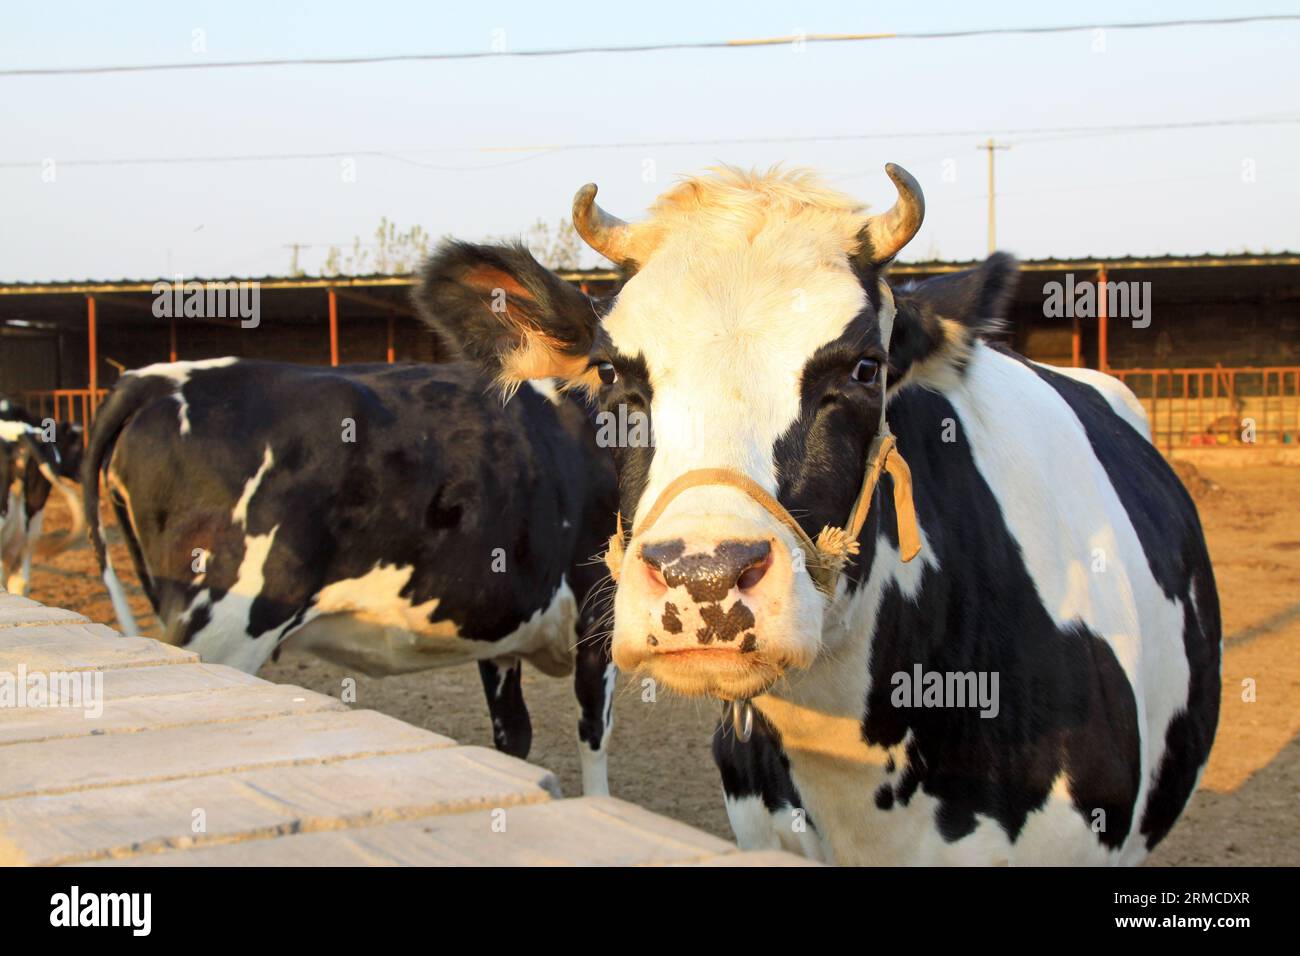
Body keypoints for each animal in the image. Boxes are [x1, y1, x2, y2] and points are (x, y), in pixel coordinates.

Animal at [82, 359, 621, 793]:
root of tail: (160, 376)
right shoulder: (600, 614)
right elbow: (594, 736)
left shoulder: (501, 627)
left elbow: (514, 735)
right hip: (224, 628)